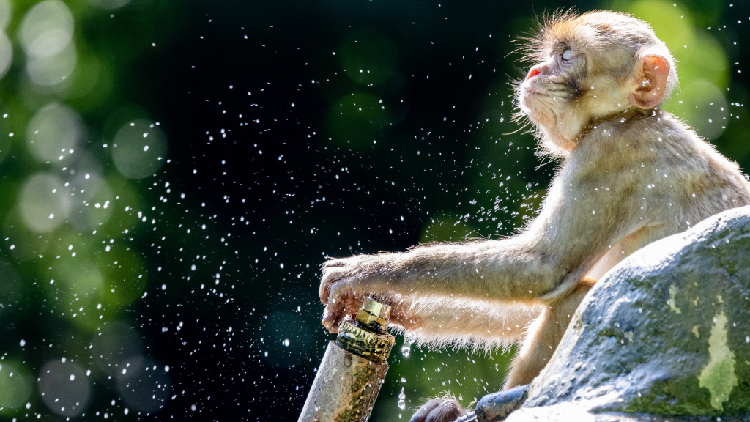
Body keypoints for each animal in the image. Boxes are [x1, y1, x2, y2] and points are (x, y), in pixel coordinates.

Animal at [319, 10, 750, 422]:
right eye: (552, 54)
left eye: (568, 56)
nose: (536, 71)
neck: (628, 117)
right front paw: (386, 301)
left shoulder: (607, 152)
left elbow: (545, 269)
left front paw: (367, 272)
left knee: (577, 297)